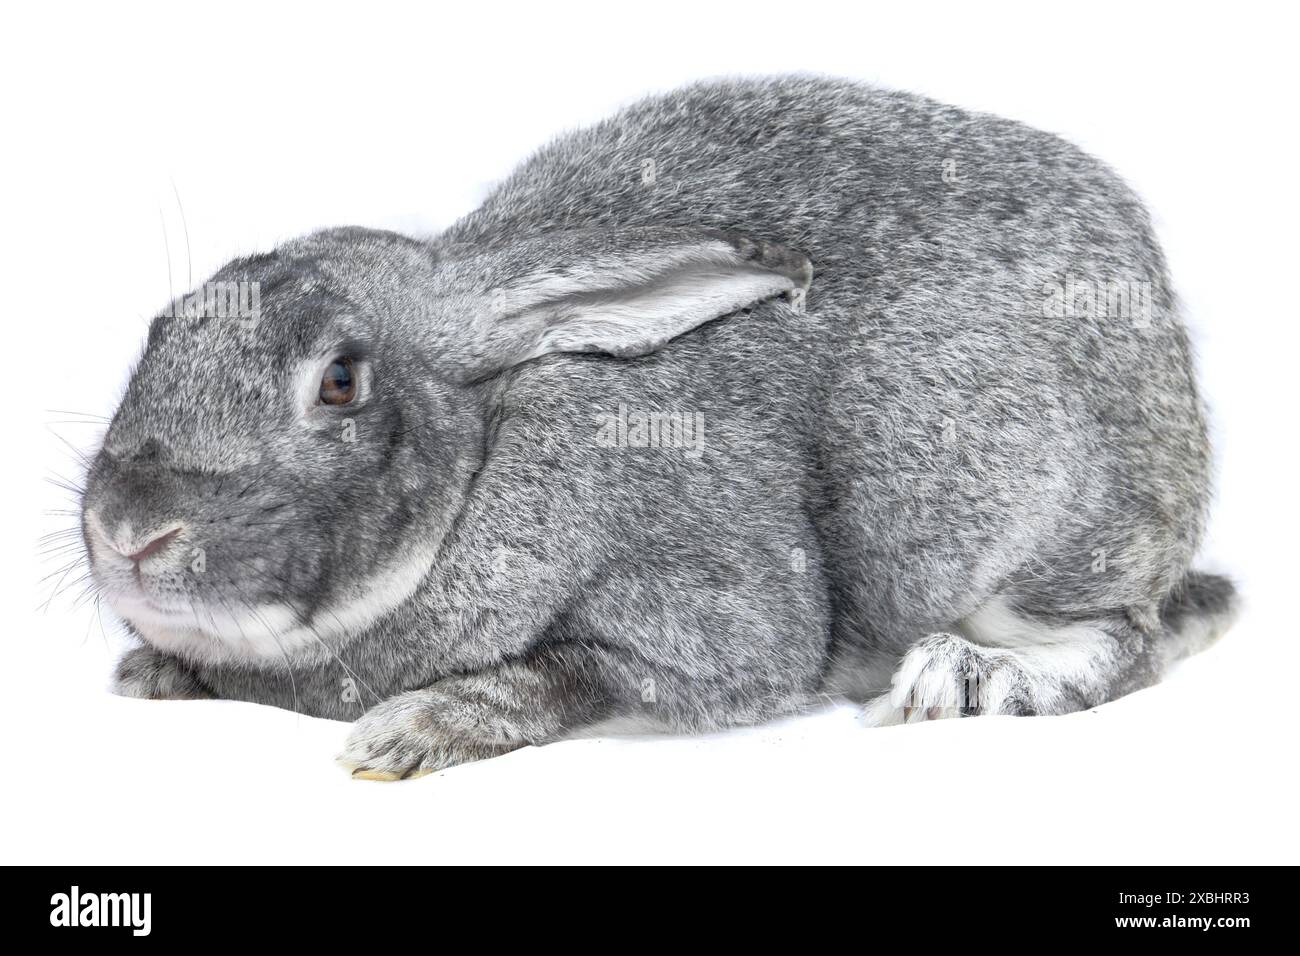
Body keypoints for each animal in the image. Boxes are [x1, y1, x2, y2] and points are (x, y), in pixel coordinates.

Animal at [80, 75, 1236, 779]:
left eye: (339, 382)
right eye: (159, 332)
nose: (128, 533)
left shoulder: (715, 613)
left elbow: (583, 670)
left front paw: (416, 731)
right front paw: (153, 679)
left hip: (1014, 515)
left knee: (1122, 641)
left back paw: (967, 680)